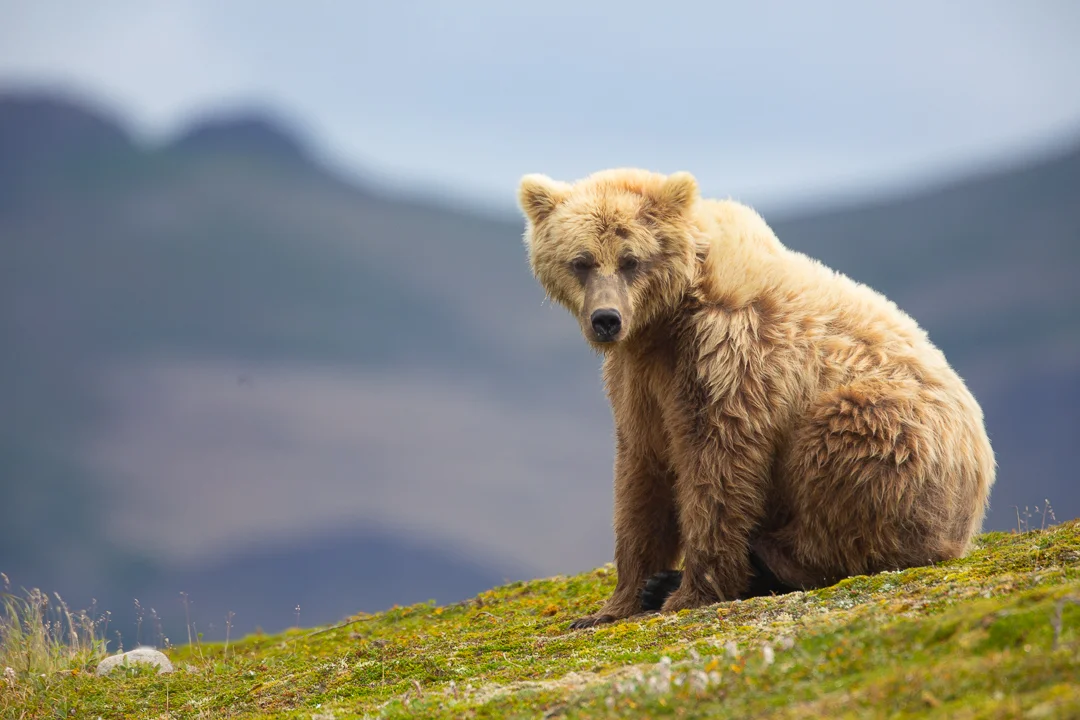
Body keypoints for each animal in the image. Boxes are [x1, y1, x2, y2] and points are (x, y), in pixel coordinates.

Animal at [516, 168, 996, 629]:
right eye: (581, 261)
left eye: (632, 260)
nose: (606, 319)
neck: (668, 318)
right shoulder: (641, 380)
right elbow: (641, 471)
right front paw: (614, 604)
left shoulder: (726, 356)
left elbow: (718, 465)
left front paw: (691, 592)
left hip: (893, 437)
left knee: (842, 458)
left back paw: (767, 562)